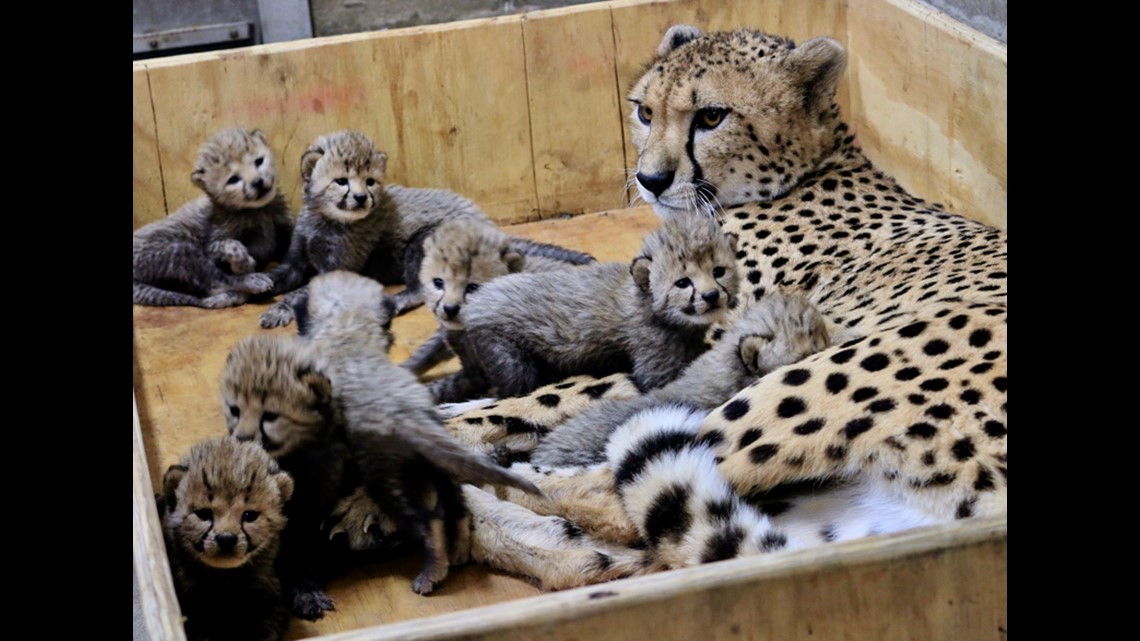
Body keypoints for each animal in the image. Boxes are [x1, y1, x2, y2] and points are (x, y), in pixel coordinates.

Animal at [133, 127, 293, 308]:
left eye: (259, 161)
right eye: (233, 179)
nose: (258, 182)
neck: (257, 211)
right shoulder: (209, 244)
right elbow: (229, 244)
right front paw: (244, 264)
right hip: (180, 250)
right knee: (215, 284)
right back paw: (249, 284)